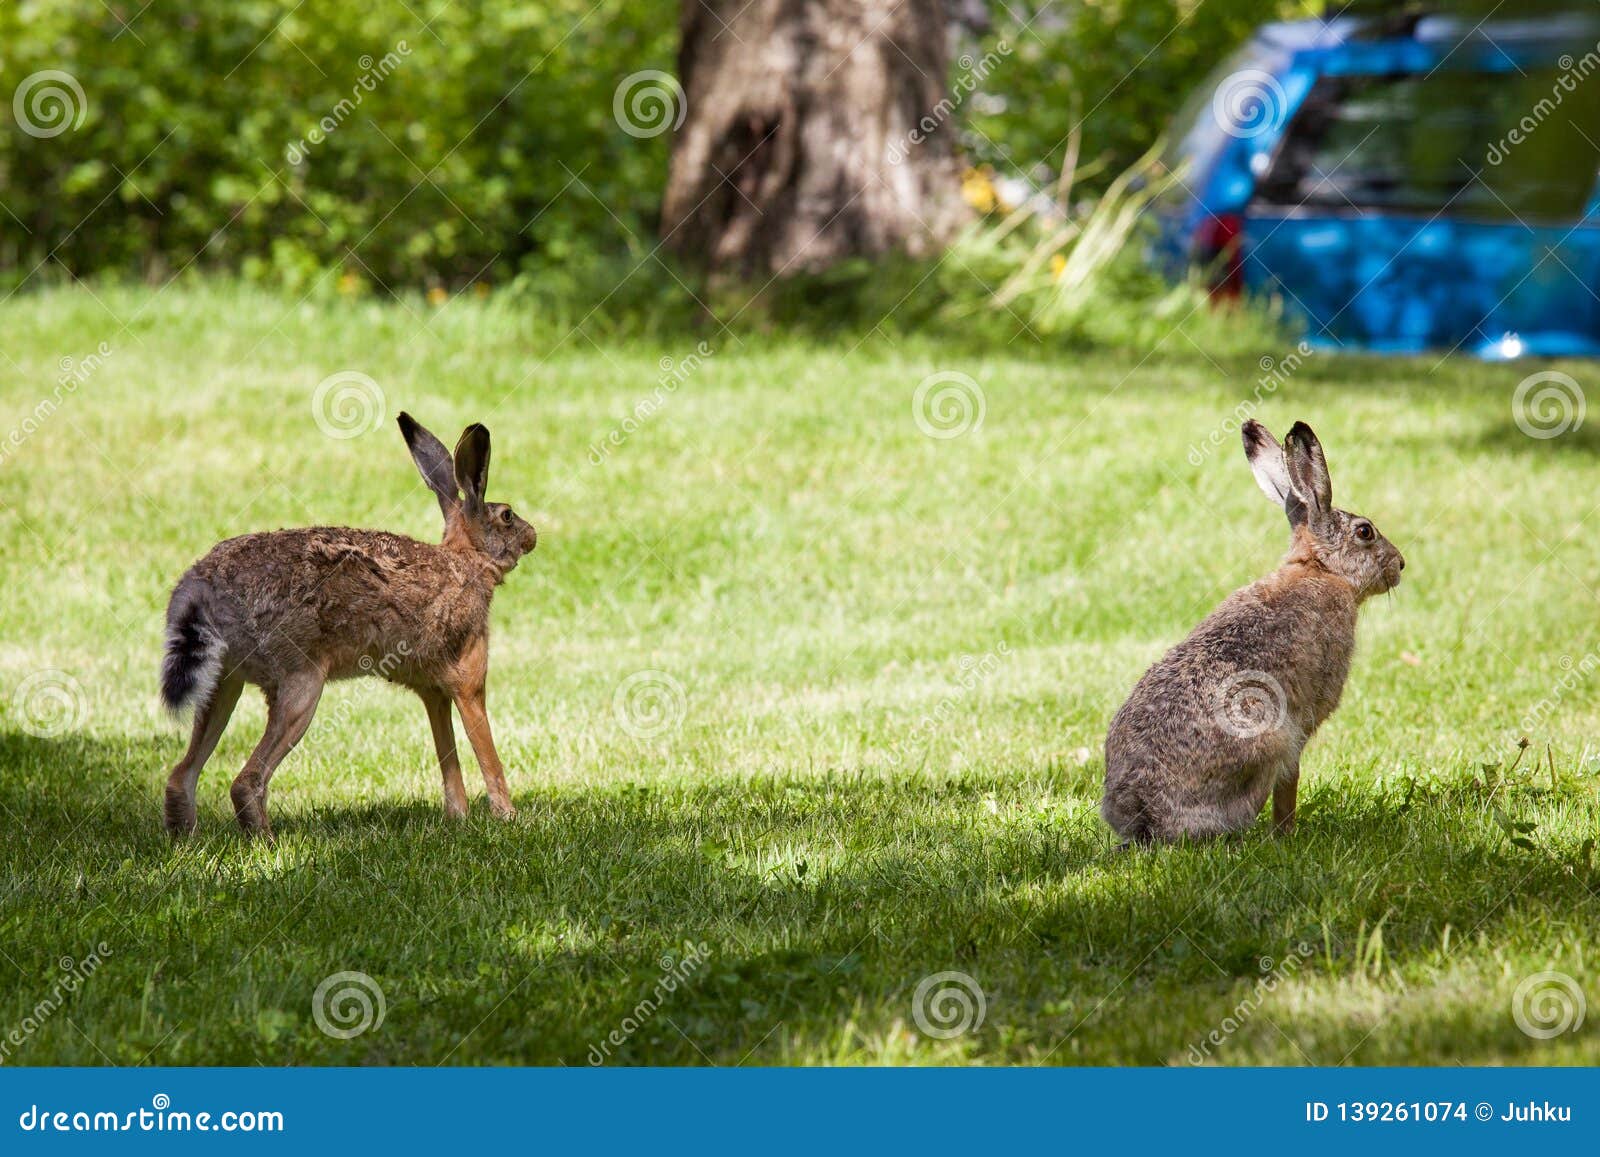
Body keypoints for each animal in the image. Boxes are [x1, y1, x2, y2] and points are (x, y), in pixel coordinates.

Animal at [158, 413, 538, 839]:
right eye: (507, 515)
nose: (532, 536)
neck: (469, 560)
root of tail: (198, 593)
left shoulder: (432, 692)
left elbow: (447, 754)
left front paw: (458, 817)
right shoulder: (469, 679)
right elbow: (486, 750)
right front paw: (508, 817)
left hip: (224, 682)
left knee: (182, 775)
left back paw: (186, 842)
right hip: (302, 682)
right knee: (246, 780)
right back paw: (267, 842)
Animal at [1102, 420, 1403, 845]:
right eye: (1365, 532)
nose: (1400, 564)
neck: (1321, 569)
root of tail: (1146, 814)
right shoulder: (1301, 725)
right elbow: (1291, 778)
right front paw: (1286, 832)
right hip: (1267, 738)